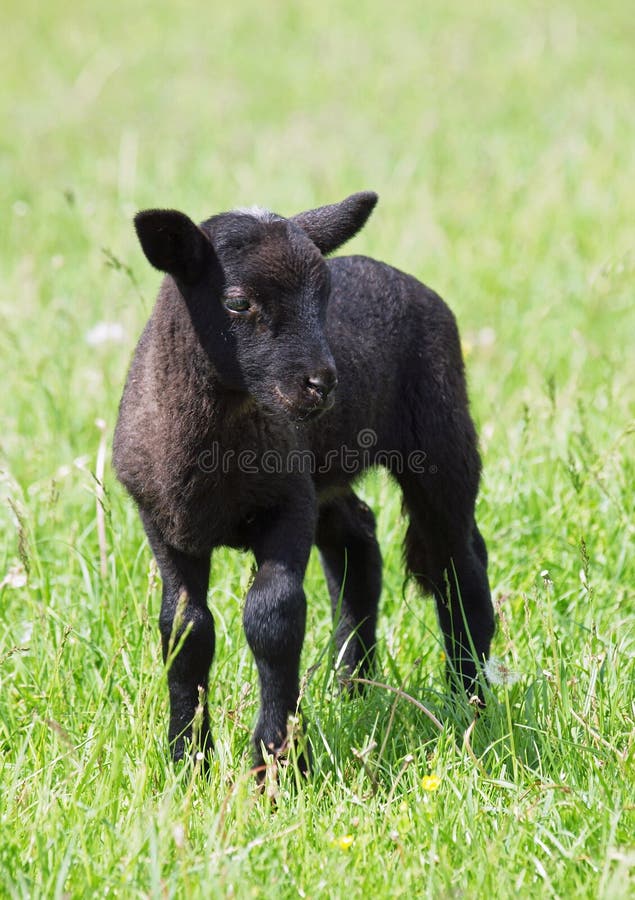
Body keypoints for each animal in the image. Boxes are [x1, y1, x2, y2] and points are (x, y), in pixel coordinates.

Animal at [113, 191, 495, 773]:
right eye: (238, 302)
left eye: (326, 296)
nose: (321, 384)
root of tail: (406, 279)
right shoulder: (164, 522)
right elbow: (183, 630)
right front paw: (187, 758)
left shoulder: (288, 503)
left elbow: (273, 618)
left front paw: (276, 763)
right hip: (328, 477)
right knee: (358, 542)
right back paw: (355, 685)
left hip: (441, 438)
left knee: (460, 566)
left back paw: (469, 700)